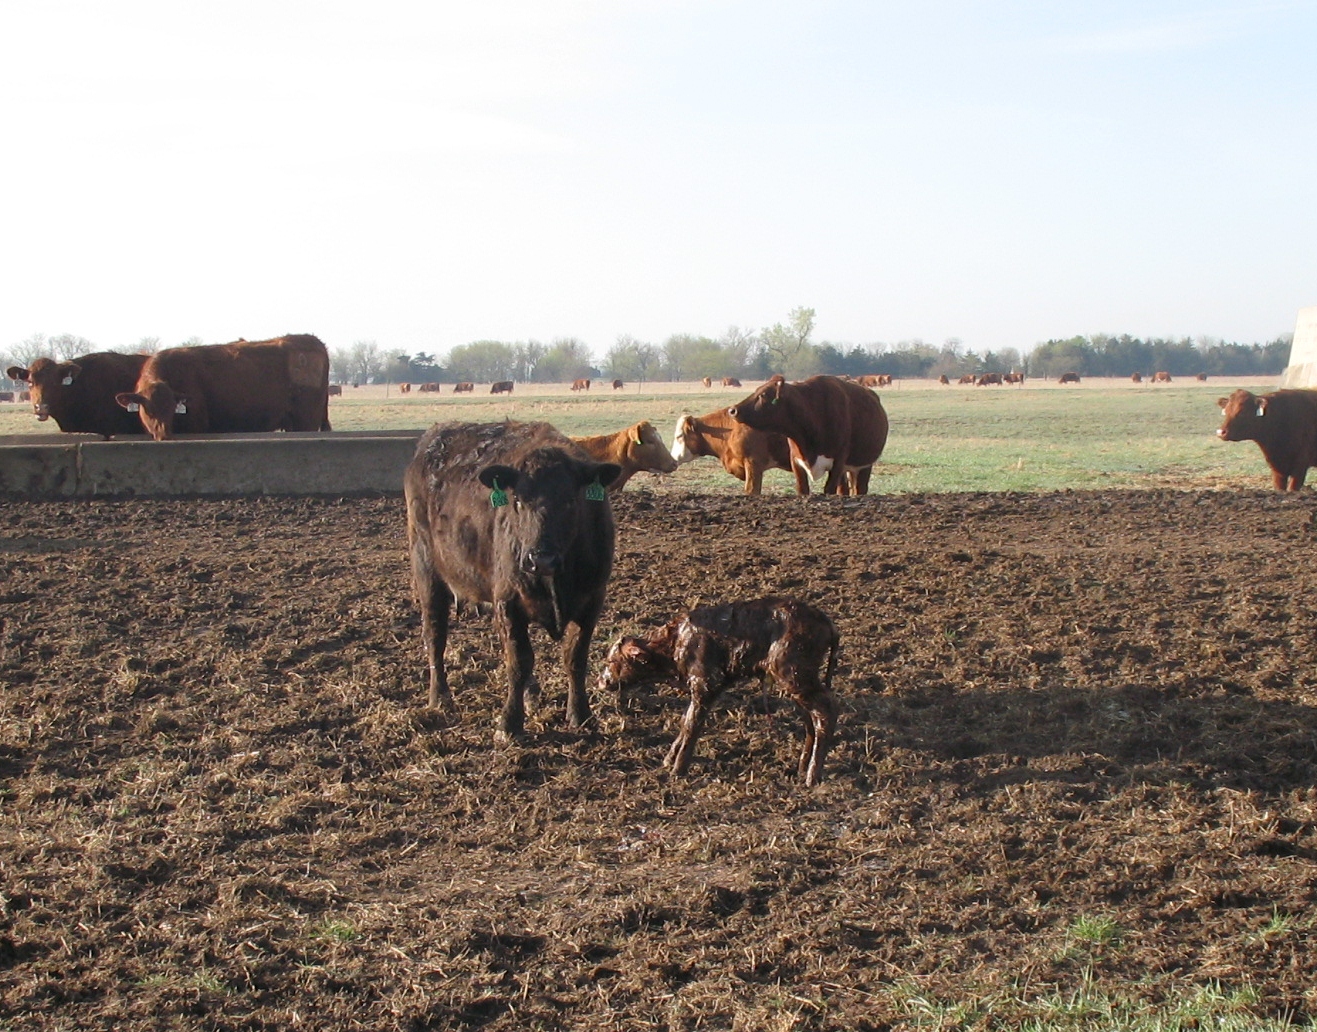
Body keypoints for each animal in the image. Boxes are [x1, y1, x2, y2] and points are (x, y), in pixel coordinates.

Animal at [404, 421, 621, 735]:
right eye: (517, 501)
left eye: (571, 501)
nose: (540, 559)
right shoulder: (508, 602)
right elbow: (517, 662)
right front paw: (509, 723)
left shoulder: (591, 602)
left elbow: (574, 659)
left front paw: (580, 714)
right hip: (427, 573)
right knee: (435, 635)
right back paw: (439, 698)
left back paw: (531, 696)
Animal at [597, 597, 840, 786]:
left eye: (612, 660)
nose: (601, 682)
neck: (676, 643)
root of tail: (826, 622)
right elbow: (686, 720)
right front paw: (669, 759)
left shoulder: (706, 684)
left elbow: (692, 724)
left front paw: (678, 769)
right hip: (796, 683)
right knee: (810, 720)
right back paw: (802, 767)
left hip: (796, 677)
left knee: (826, 711)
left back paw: (812, 776)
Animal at [727, 375, 889, 495]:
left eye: (763, 394)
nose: (733, 410)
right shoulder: (796, 460)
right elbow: (802, 488)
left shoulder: (839, 461)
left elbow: (828, 489)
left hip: (864, 465)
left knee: (859, 489)